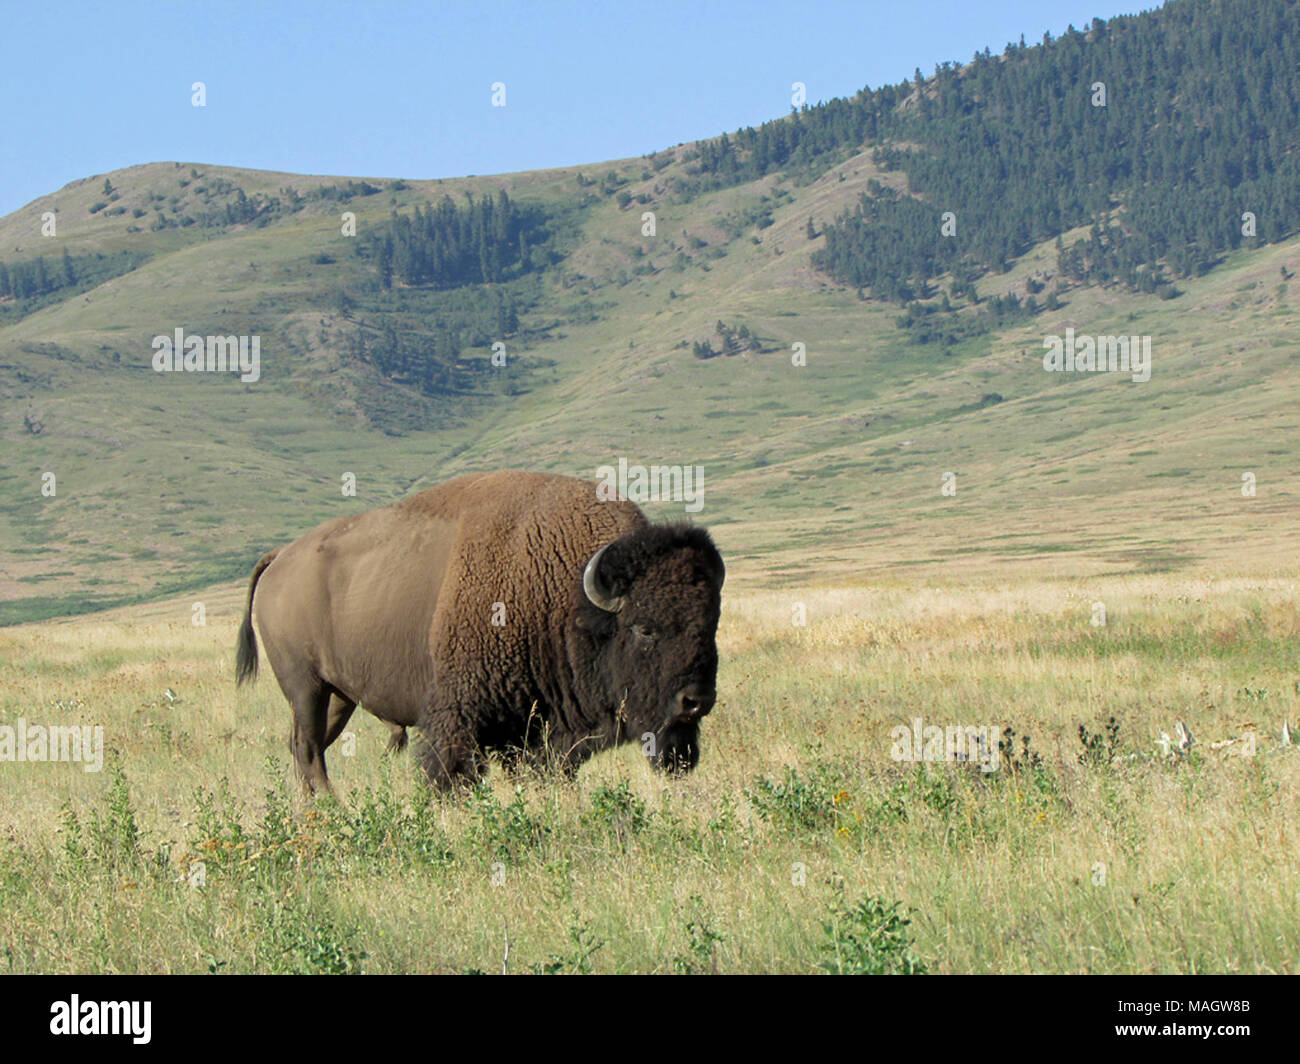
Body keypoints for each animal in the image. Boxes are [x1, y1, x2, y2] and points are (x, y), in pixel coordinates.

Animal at [235, 470, 724, 792]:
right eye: (643, 629)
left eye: (710, 623)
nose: (695, 701)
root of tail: (281, 556)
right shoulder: (456, 716)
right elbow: (450, 775)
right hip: (306, 687)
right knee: (307, 749)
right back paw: (327, 809)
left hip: (338, 696)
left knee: (309, 747)